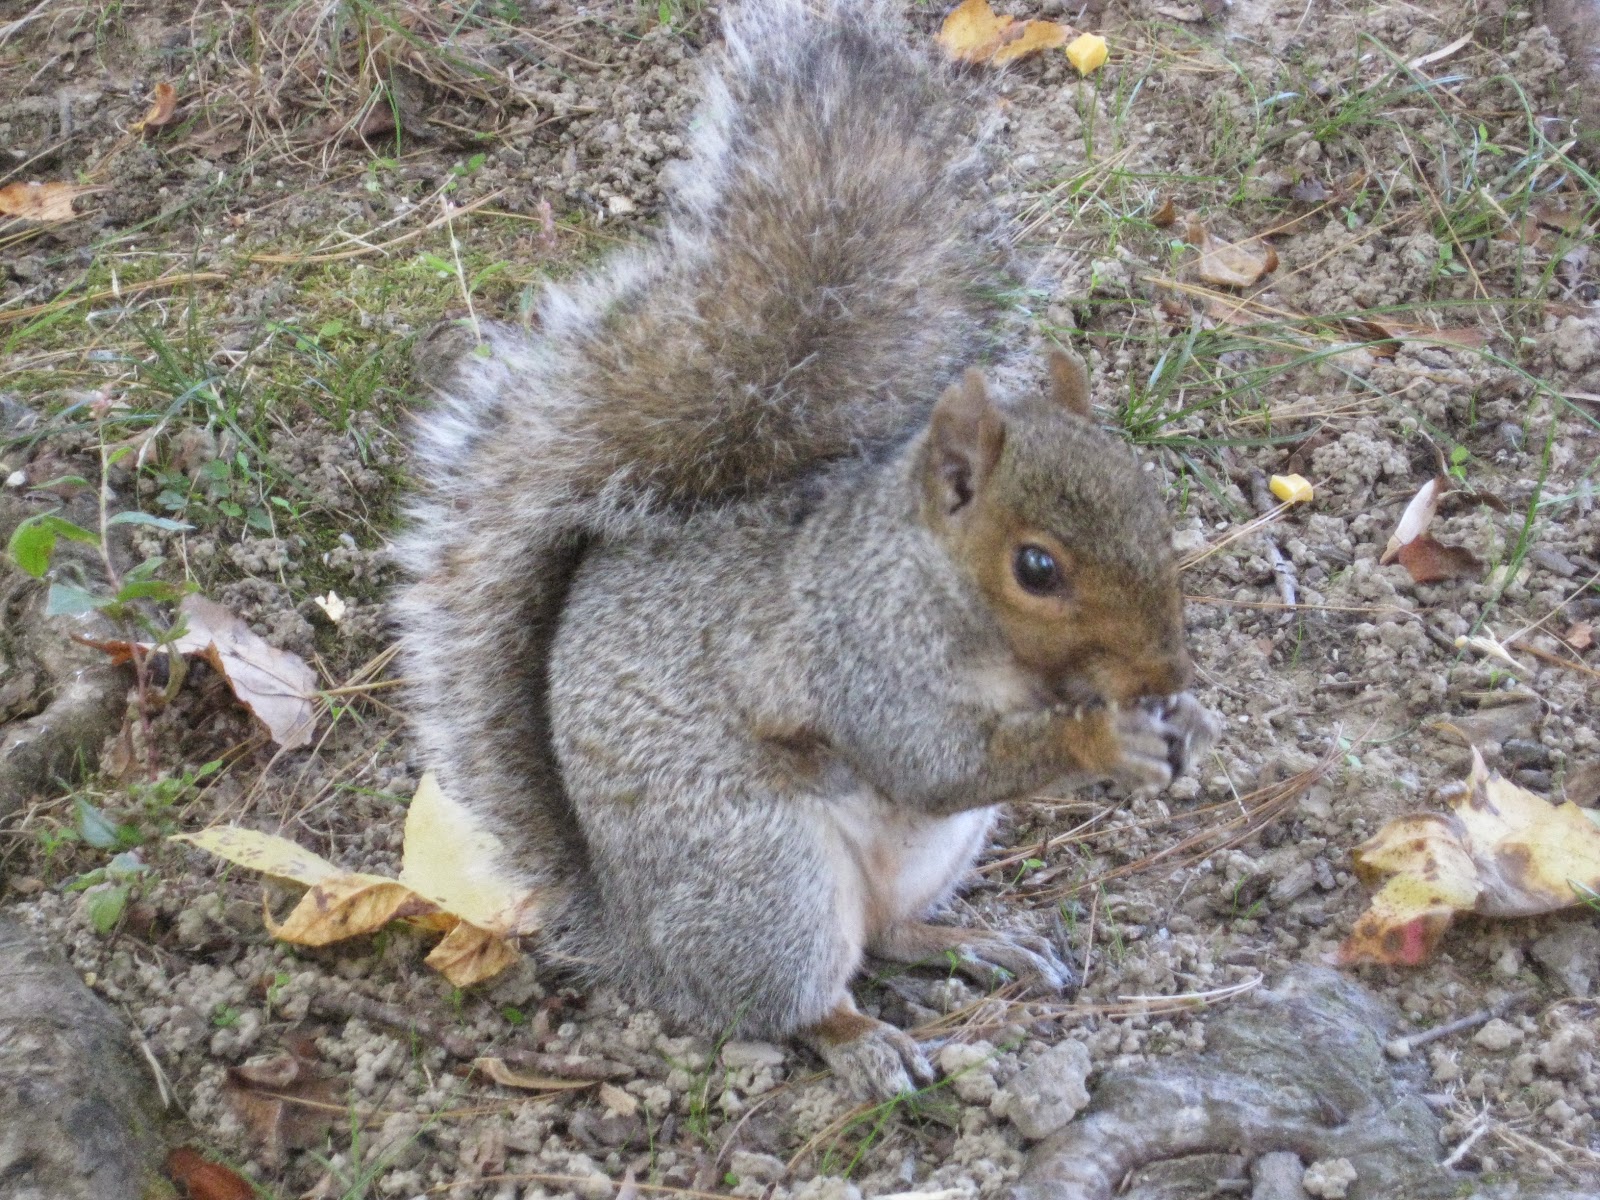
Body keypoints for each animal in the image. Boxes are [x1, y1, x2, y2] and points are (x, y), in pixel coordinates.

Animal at [397, 0, 1217, 1100]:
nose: (1167, 671)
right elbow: (930, 760)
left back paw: (972, 944)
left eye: (1150, 498)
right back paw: (865, 1044)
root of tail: (639, 943)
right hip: (765, 881)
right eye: (1037, 568)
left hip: (935, 856)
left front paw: (1185, 721)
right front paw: (1102, 742)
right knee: (801, 997)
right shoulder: (860, 655)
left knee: (889, 934)